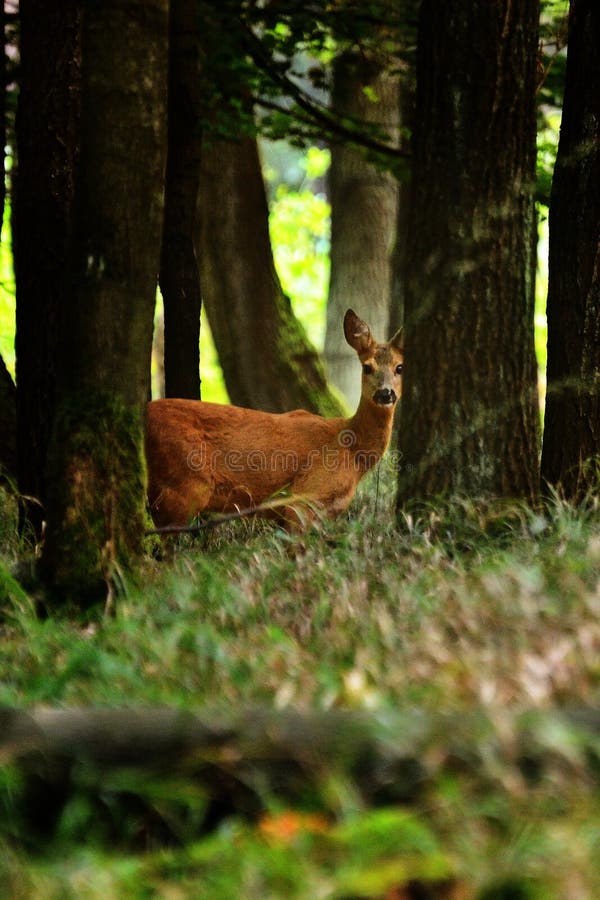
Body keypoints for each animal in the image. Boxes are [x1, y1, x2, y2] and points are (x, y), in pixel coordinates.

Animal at [145, 309, 403, 532]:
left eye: (399, 367)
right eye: (367, 367)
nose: (385, 393)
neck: (352, 450)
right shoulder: (303, 497)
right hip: (183, 484)